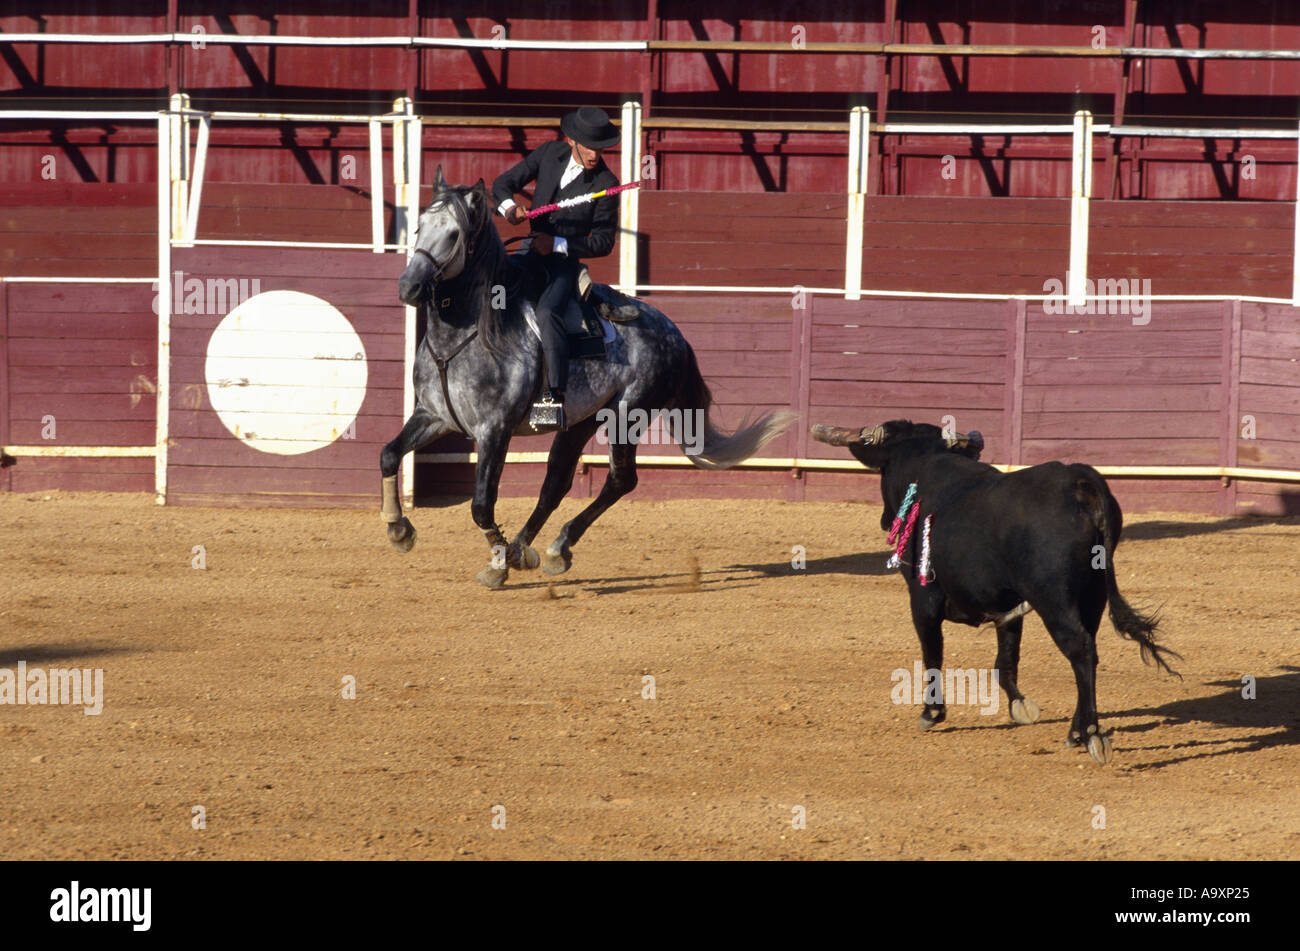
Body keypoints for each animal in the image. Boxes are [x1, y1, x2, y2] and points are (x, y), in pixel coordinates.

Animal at [811, 419, 1180, 764]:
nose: (886, 521)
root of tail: (1078, 481)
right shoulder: (1008, 602)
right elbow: (1007, 656)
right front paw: (1021, 705)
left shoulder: (923, 598)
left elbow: (933, 654)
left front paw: (932, 712)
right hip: (1093, 597)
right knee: (1088, 651)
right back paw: (1076, 731)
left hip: (1053, 599)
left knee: (1080, 649)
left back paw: (1089, 735)